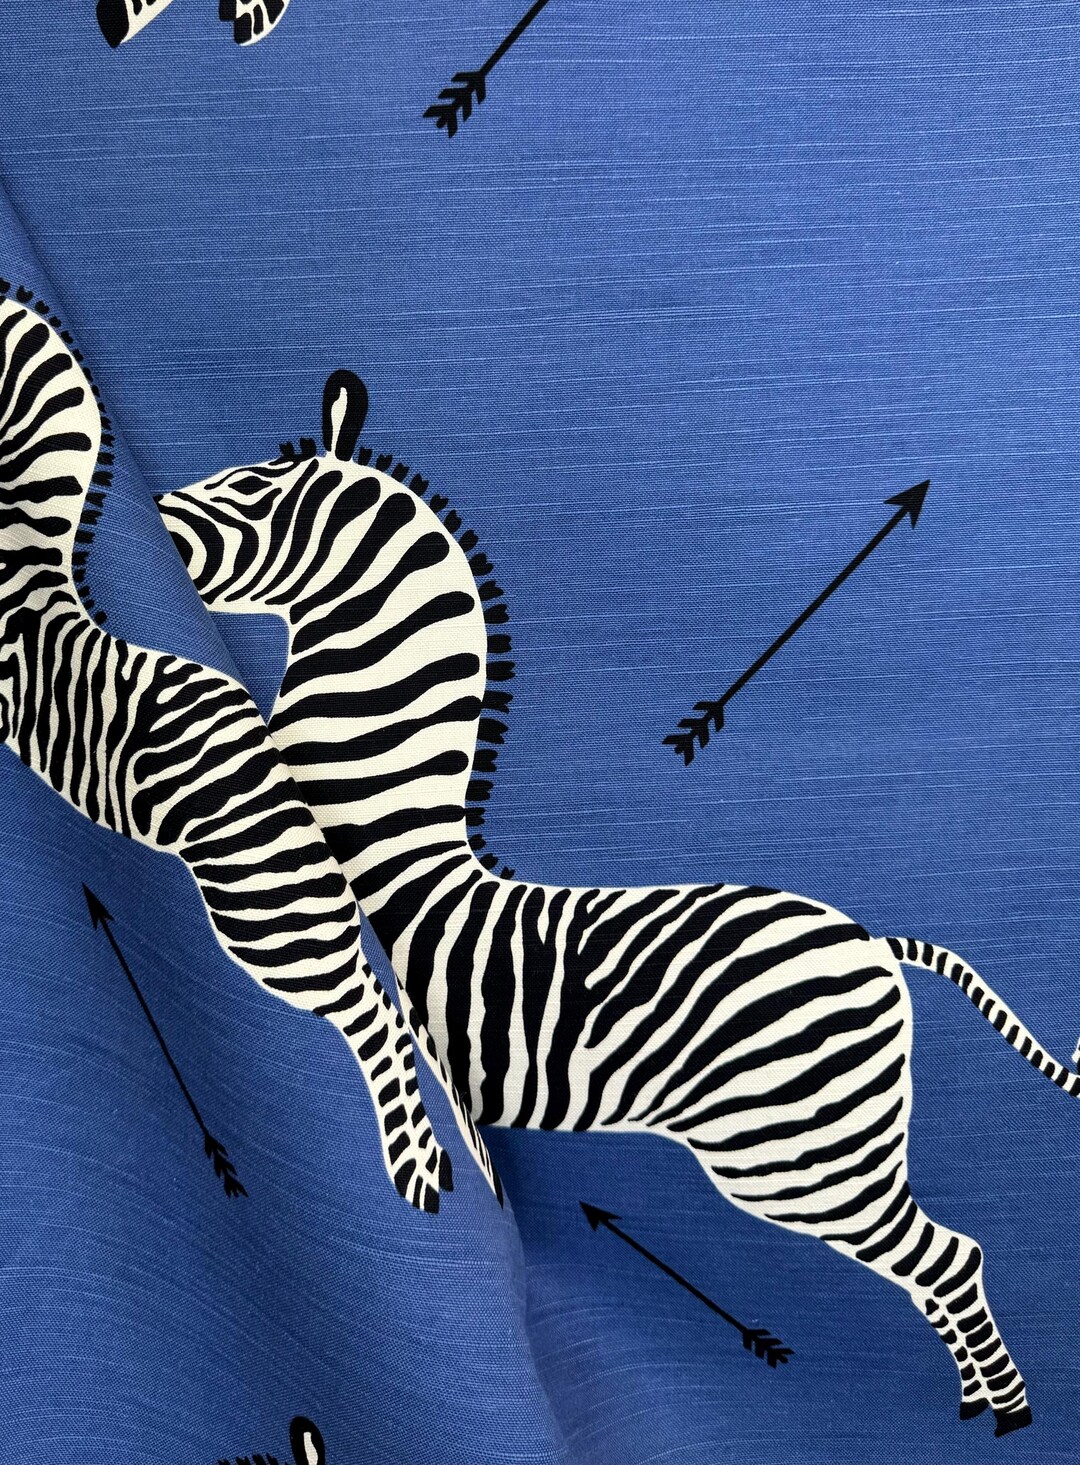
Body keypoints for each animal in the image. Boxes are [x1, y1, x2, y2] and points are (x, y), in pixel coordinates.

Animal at [157, 366, 1080, 1435]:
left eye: (252, 483)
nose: (151, 516)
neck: (384, 809)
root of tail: (875, 942)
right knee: (931, 1259)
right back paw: (977, 1401)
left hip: (799, 1150)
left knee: (945, 1254)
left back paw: (1004, 1409)